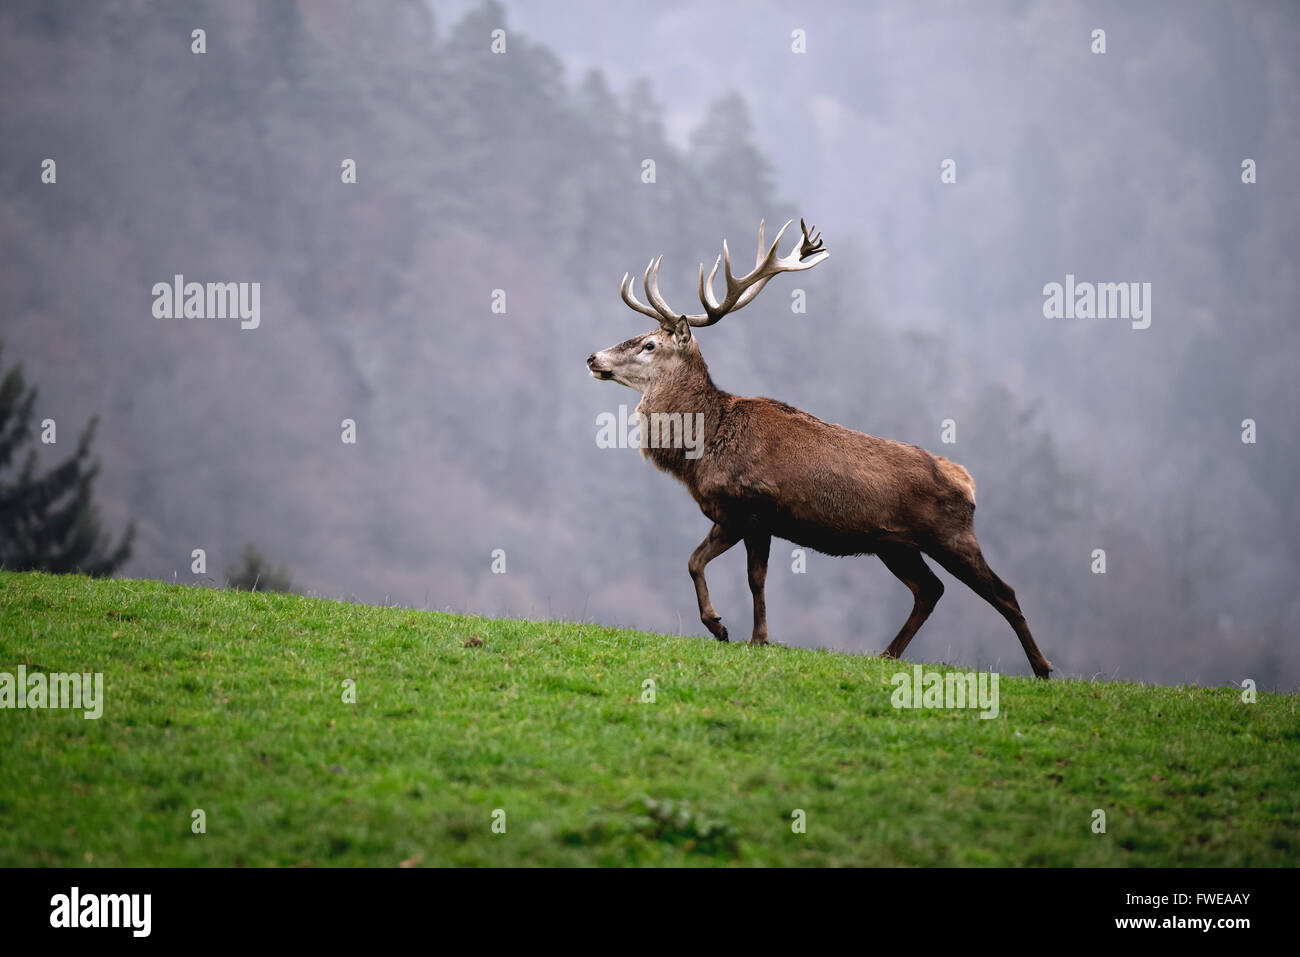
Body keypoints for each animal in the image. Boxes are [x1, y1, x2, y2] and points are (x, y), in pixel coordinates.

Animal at [586, 218, 1054, 678]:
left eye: (649, 345)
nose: (593, 357)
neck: (703, 445)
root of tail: (966, 481)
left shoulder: (758, 508)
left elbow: (755, 578)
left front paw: (758, 638)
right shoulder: (728, 514)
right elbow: (693, 561)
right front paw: (718, 626)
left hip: (950, 533)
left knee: (1004, 592)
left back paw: (1043, 667)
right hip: (895, 544)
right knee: (930, 589)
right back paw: (887, 655)